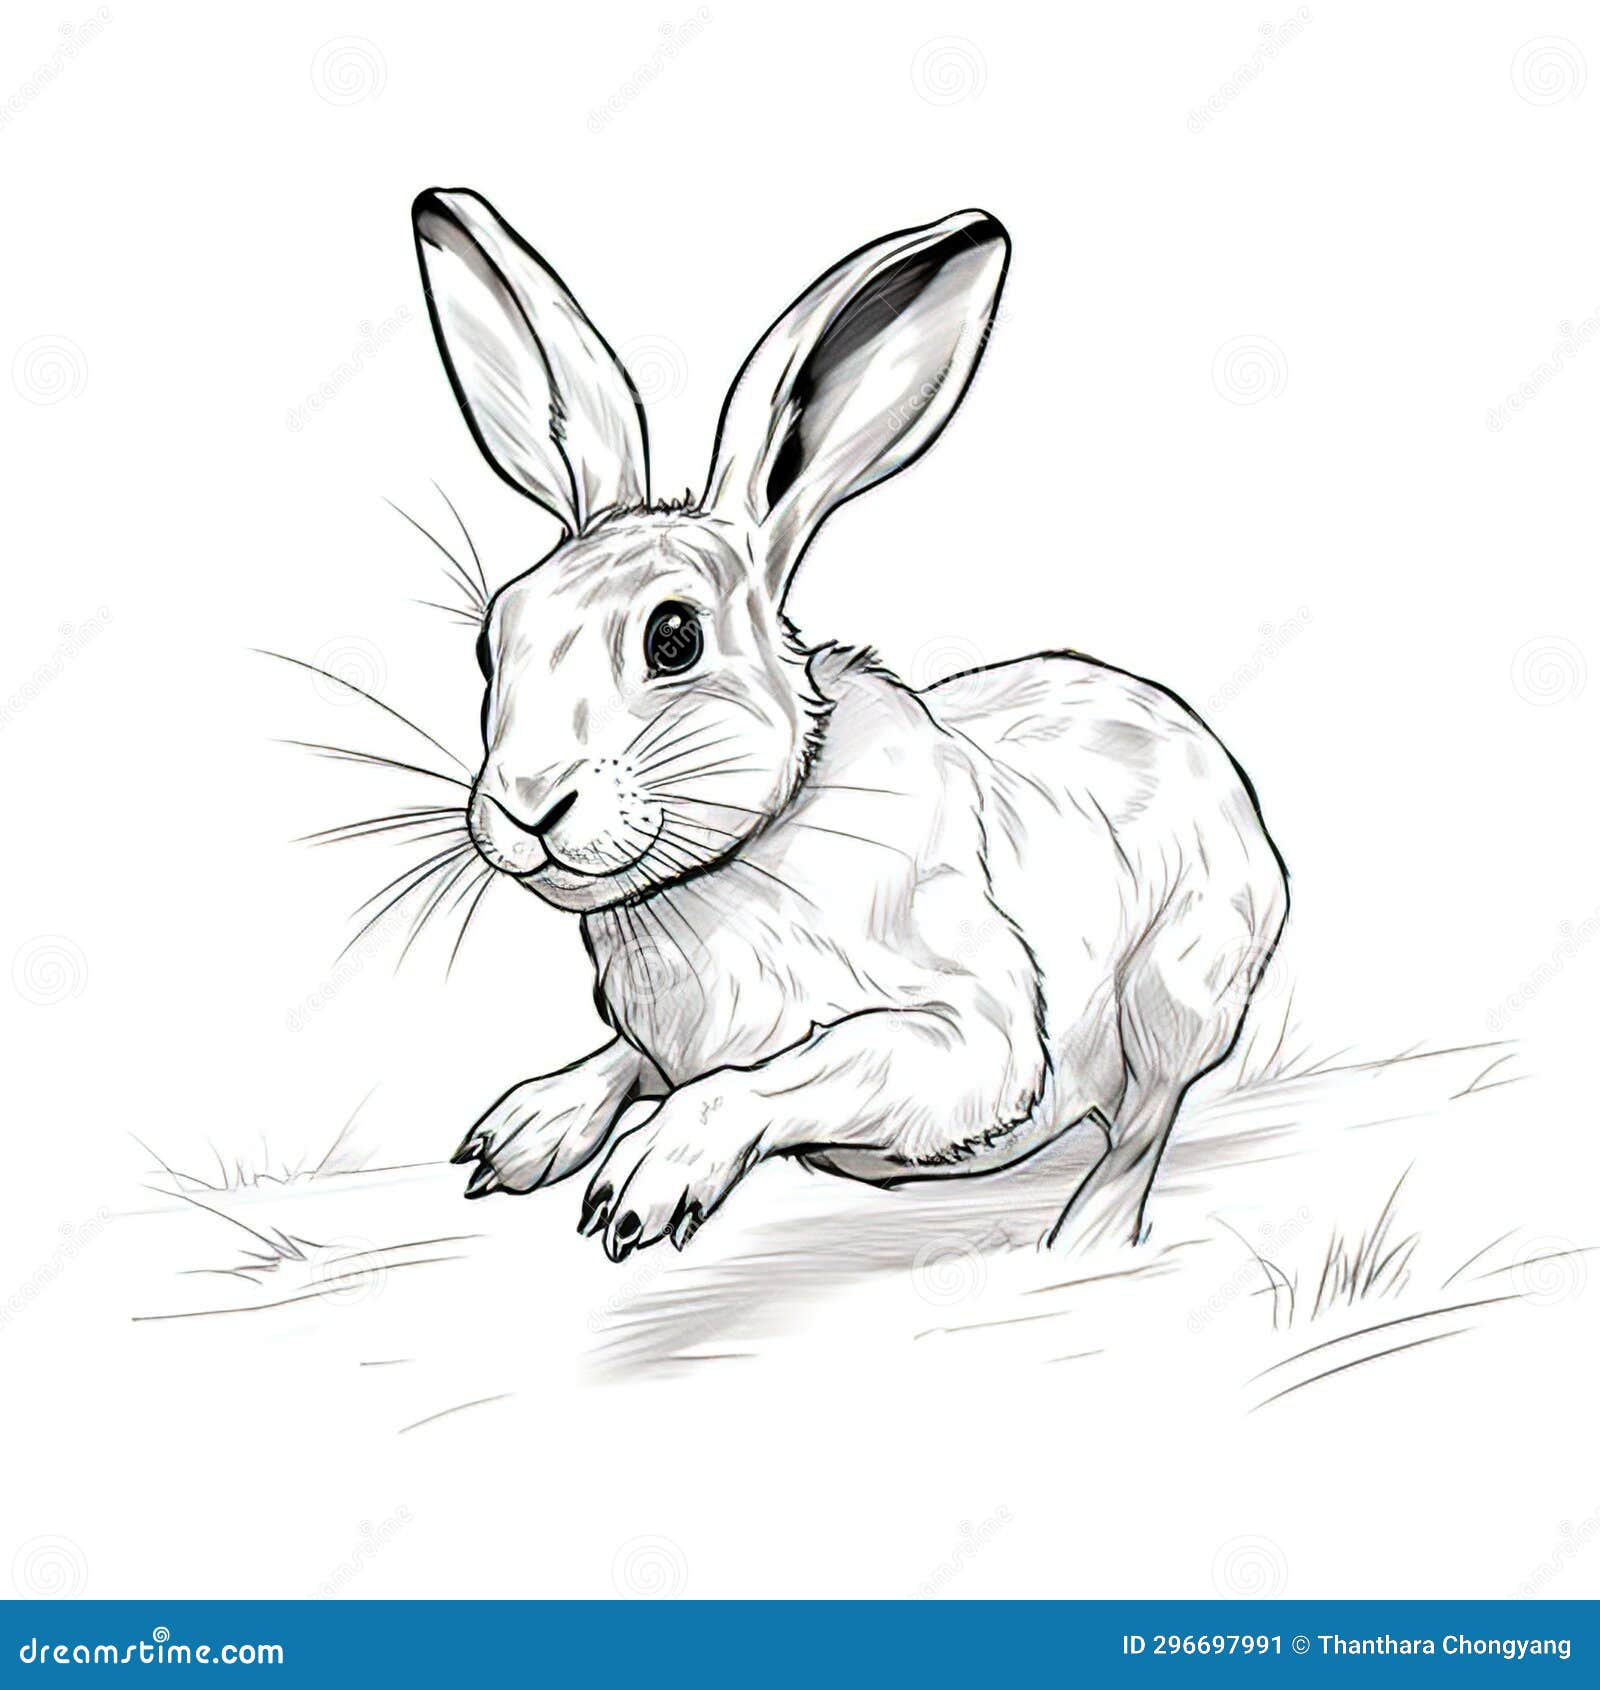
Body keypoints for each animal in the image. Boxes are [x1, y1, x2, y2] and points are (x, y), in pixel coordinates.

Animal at [412, 187, 1289, 1263]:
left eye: (673, 636)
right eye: (490, 642)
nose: (528, 806)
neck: (732, 865)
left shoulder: (970, 1027)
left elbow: (780, 1075)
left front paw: (648, 1181)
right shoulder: (659, 1036)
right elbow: (628, 1057)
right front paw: (521, 1131)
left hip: (1182, 982)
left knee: (1148, 1113)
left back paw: (1087, 1235)